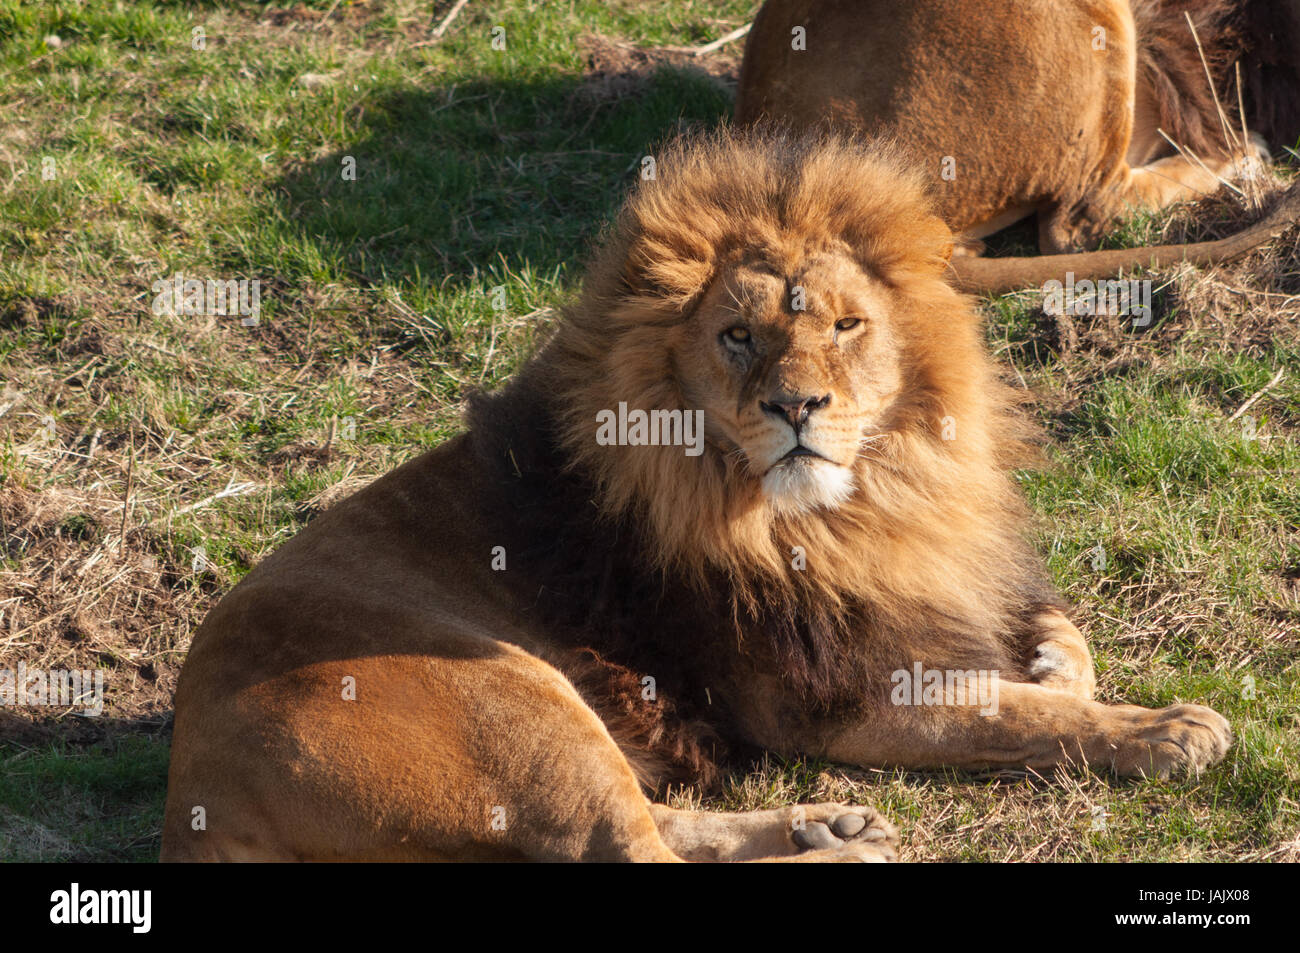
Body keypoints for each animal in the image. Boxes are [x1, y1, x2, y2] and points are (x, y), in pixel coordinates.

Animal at [162, 130, 1231, 863]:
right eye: (738, 336)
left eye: (845, 326)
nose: (797, 405)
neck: (850, 510)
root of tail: (192, 791)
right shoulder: (828, 698)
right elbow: (1012, 716)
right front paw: (1165, 728)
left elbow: (1053, 656)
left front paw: (1055, 663)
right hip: (511, 700)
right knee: (627, 850)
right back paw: (836, 847)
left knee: (655, 830)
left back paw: (828, 826)